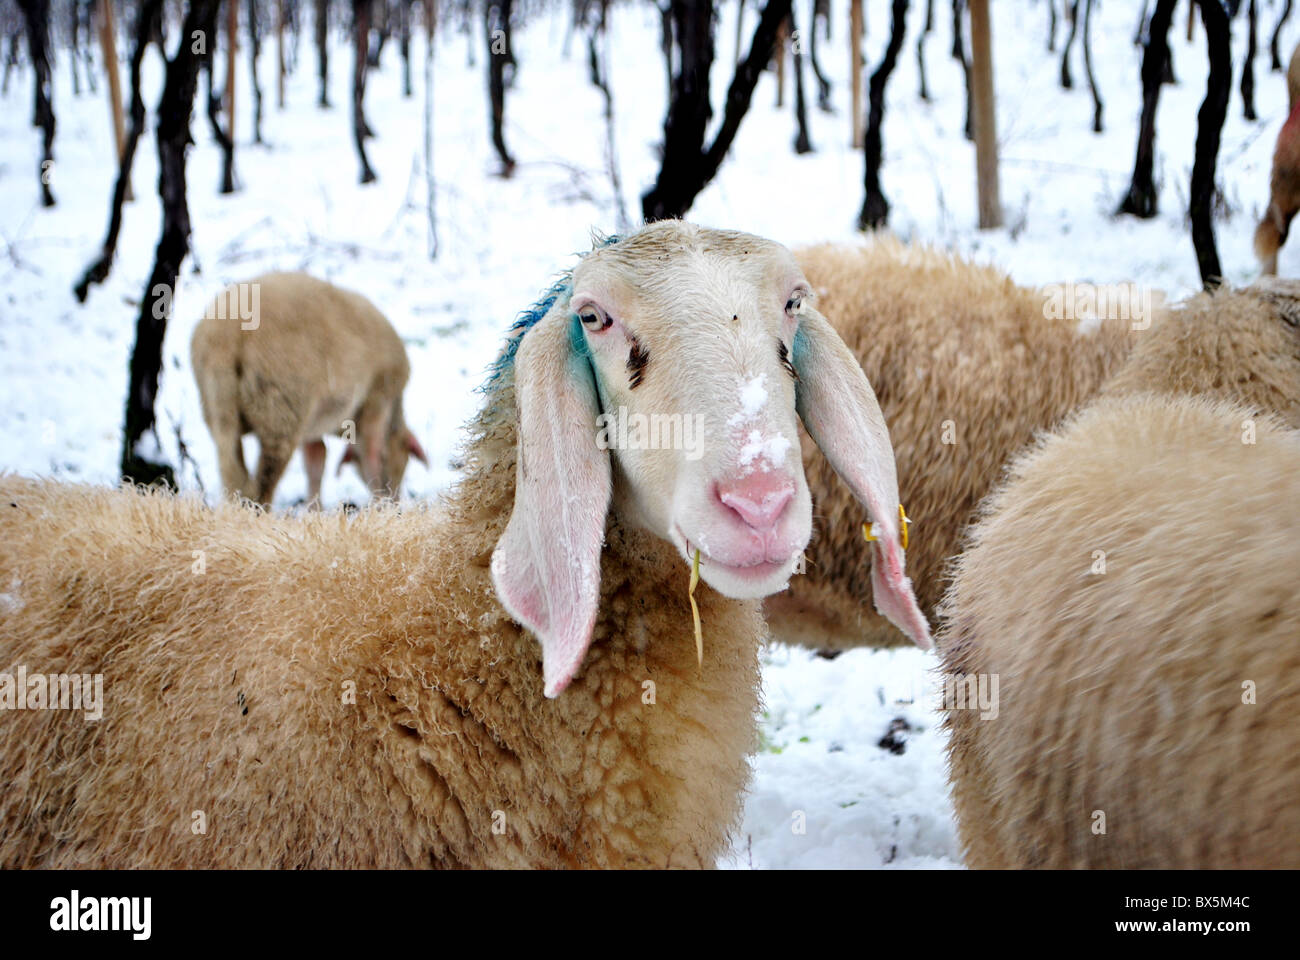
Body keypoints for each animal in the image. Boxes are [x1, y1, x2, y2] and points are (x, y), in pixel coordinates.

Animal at [190, 271, 428, 507]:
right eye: (405, 457)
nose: (394, 501)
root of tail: (228, 337)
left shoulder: (312, 421)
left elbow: (316, 460)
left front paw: (314, 508)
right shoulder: (378, 397)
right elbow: (372, 454)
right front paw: (378, 503)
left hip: (219, 406)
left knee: (232, 471)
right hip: (280, 408)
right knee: (262, 484)